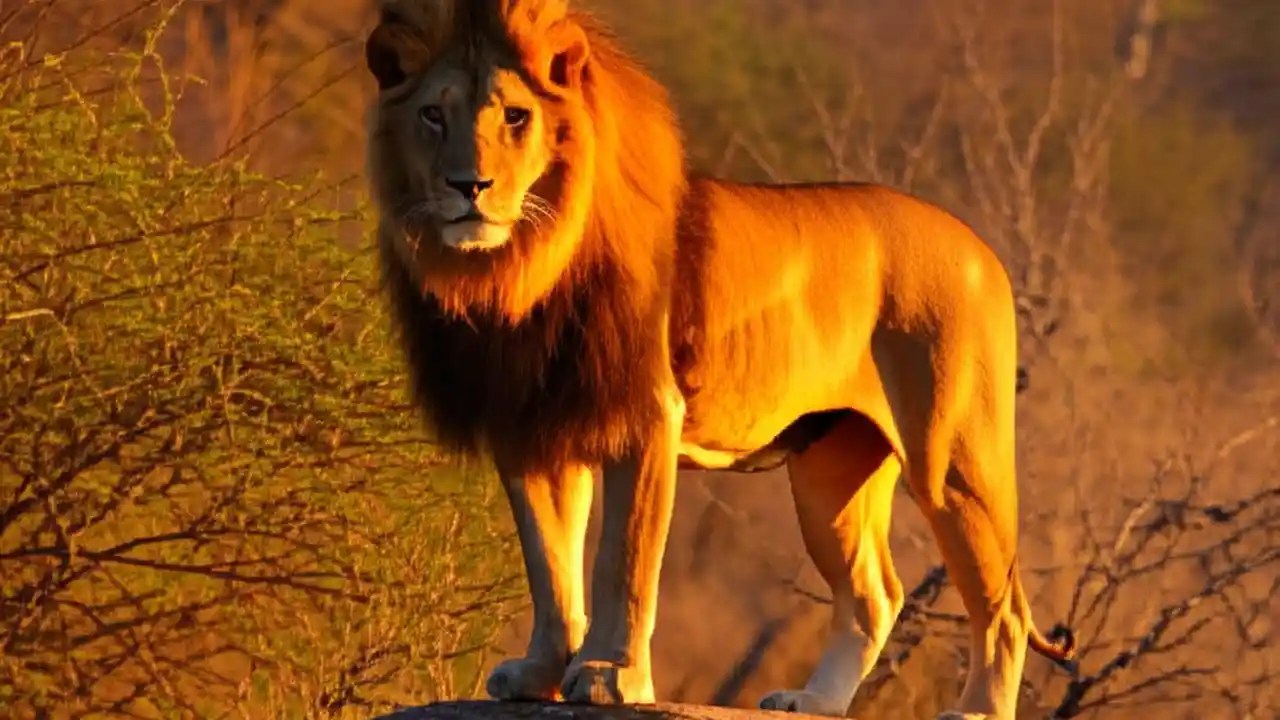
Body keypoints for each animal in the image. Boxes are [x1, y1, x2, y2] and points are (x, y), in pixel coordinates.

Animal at [362, 1, 1076, 718]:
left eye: (515, 116)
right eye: (433, 114)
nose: (469, 186)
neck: (520, 267)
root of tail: (979, 247)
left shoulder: (645, 416)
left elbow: (622, 562)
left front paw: (610, 676)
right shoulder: (531, 429)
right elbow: (550, 567)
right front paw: (540, 674)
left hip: (952, 460)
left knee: (1006, 607)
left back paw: (977, 708)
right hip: (829, 474)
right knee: (875, 594)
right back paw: (812, 701)